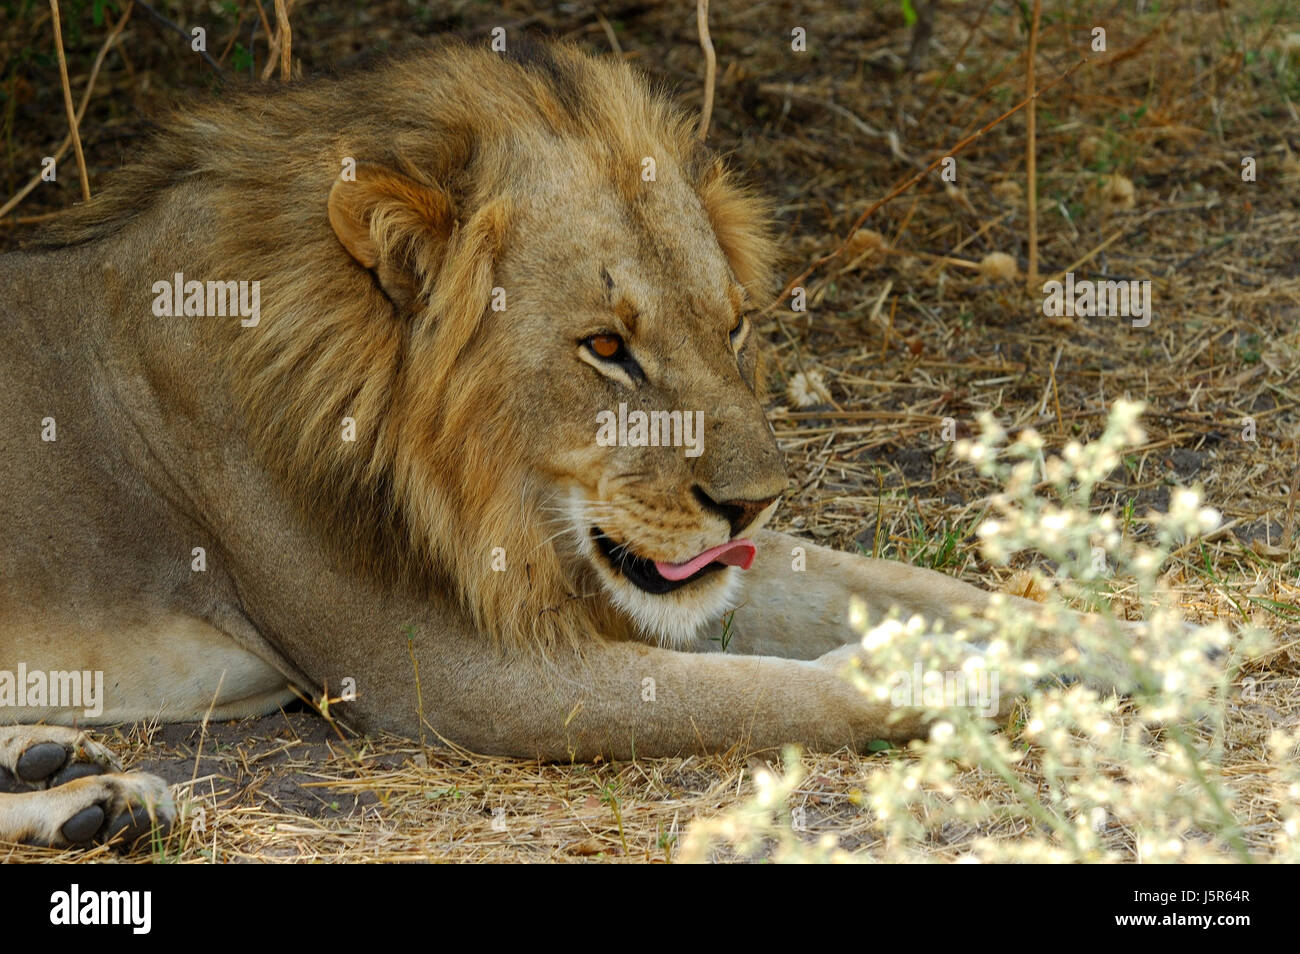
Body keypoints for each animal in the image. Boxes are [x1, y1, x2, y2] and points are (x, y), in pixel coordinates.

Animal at [0, 37, 1023, 849]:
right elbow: (767, 693)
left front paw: (1052, 635)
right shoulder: (446, 677)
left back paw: (57, 768)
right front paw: (952, 675)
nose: (754, 504)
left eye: (732, 327)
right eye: (606, 349)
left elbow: (892, 584)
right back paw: (91, 800)